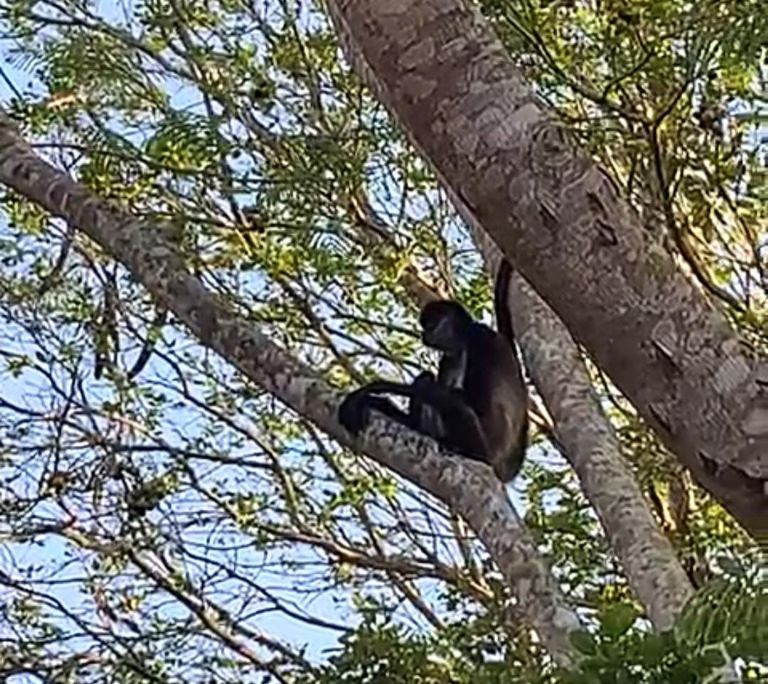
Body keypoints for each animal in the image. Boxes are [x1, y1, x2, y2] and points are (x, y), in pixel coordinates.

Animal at [338, 260, 529, 482]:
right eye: (425, 326)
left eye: (431, 324)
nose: (423, 334)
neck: (463, 343)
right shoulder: (448, 358)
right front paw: (374, 400)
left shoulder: (481, 339)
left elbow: (475, 402)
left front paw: (373, 388)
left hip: (483, 450)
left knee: (448, 397)